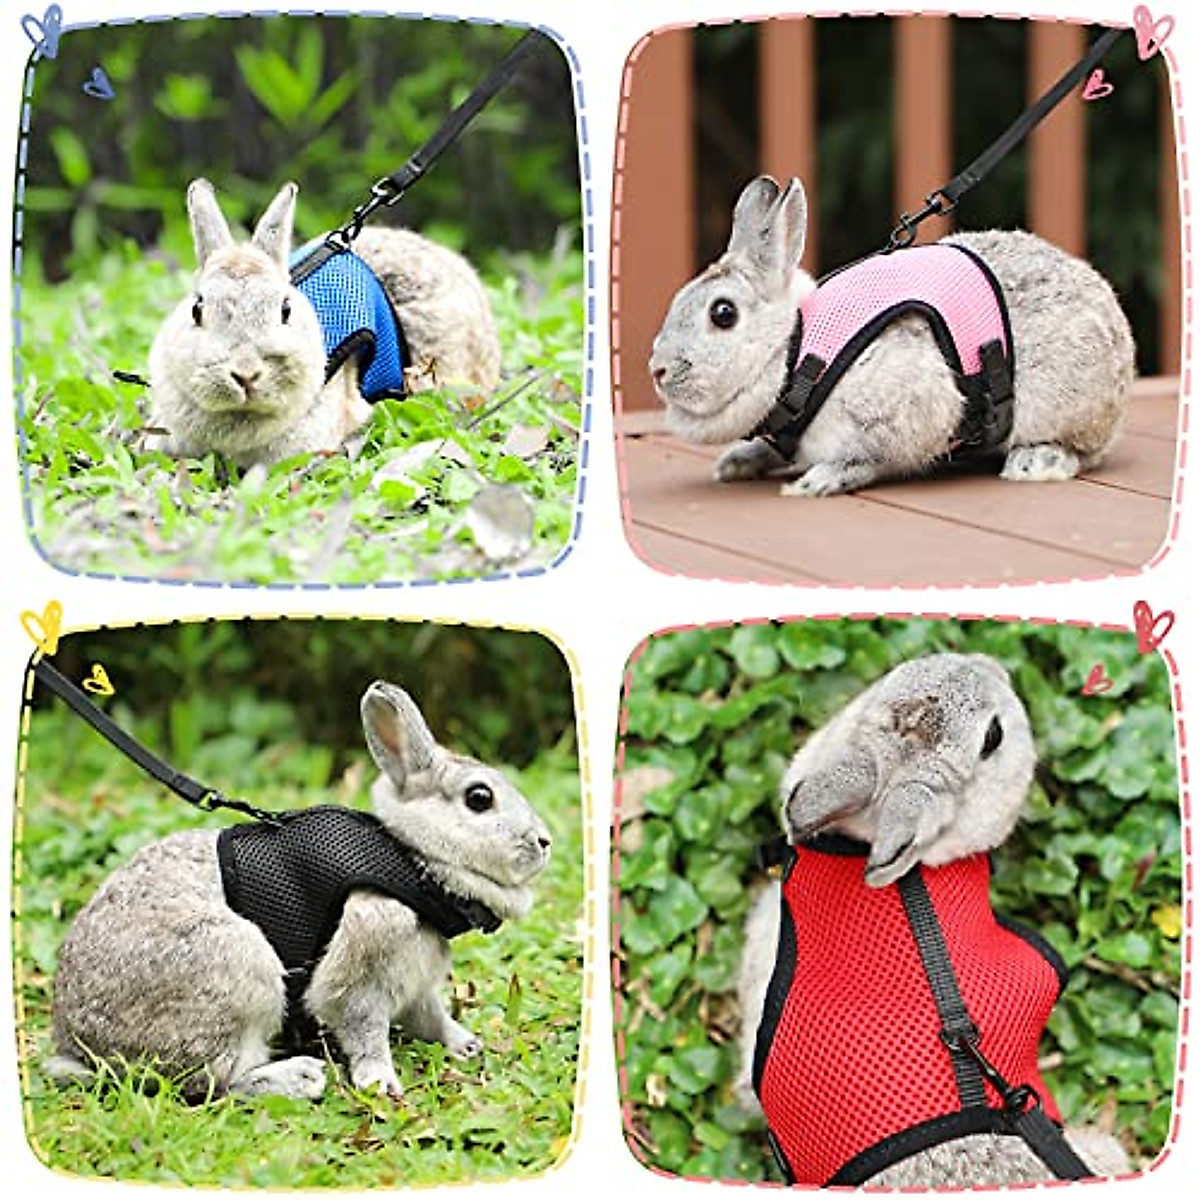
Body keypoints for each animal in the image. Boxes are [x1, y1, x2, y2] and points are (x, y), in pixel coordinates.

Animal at [46, 681, 551, 1101]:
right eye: (479, 798)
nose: (544, 842)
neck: (412, 860)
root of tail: (82, 1047)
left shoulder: (415, 982)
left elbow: (430, 1015)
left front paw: (466, 1044)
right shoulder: (363, 965)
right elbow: (363, 1025)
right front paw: (381, 1083)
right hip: (237, 972)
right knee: (215, 1081)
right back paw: (300, 1078)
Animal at [649, 175, 1135, 496]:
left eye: (723, 314)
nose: (658, 370)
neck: (794, 351)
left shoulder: (907, 415)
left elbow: (868, 459)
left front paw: (815, 483)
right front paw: (737, 463)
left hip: (1068, 406)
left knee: (1086, 451)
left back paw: (1035, 462)